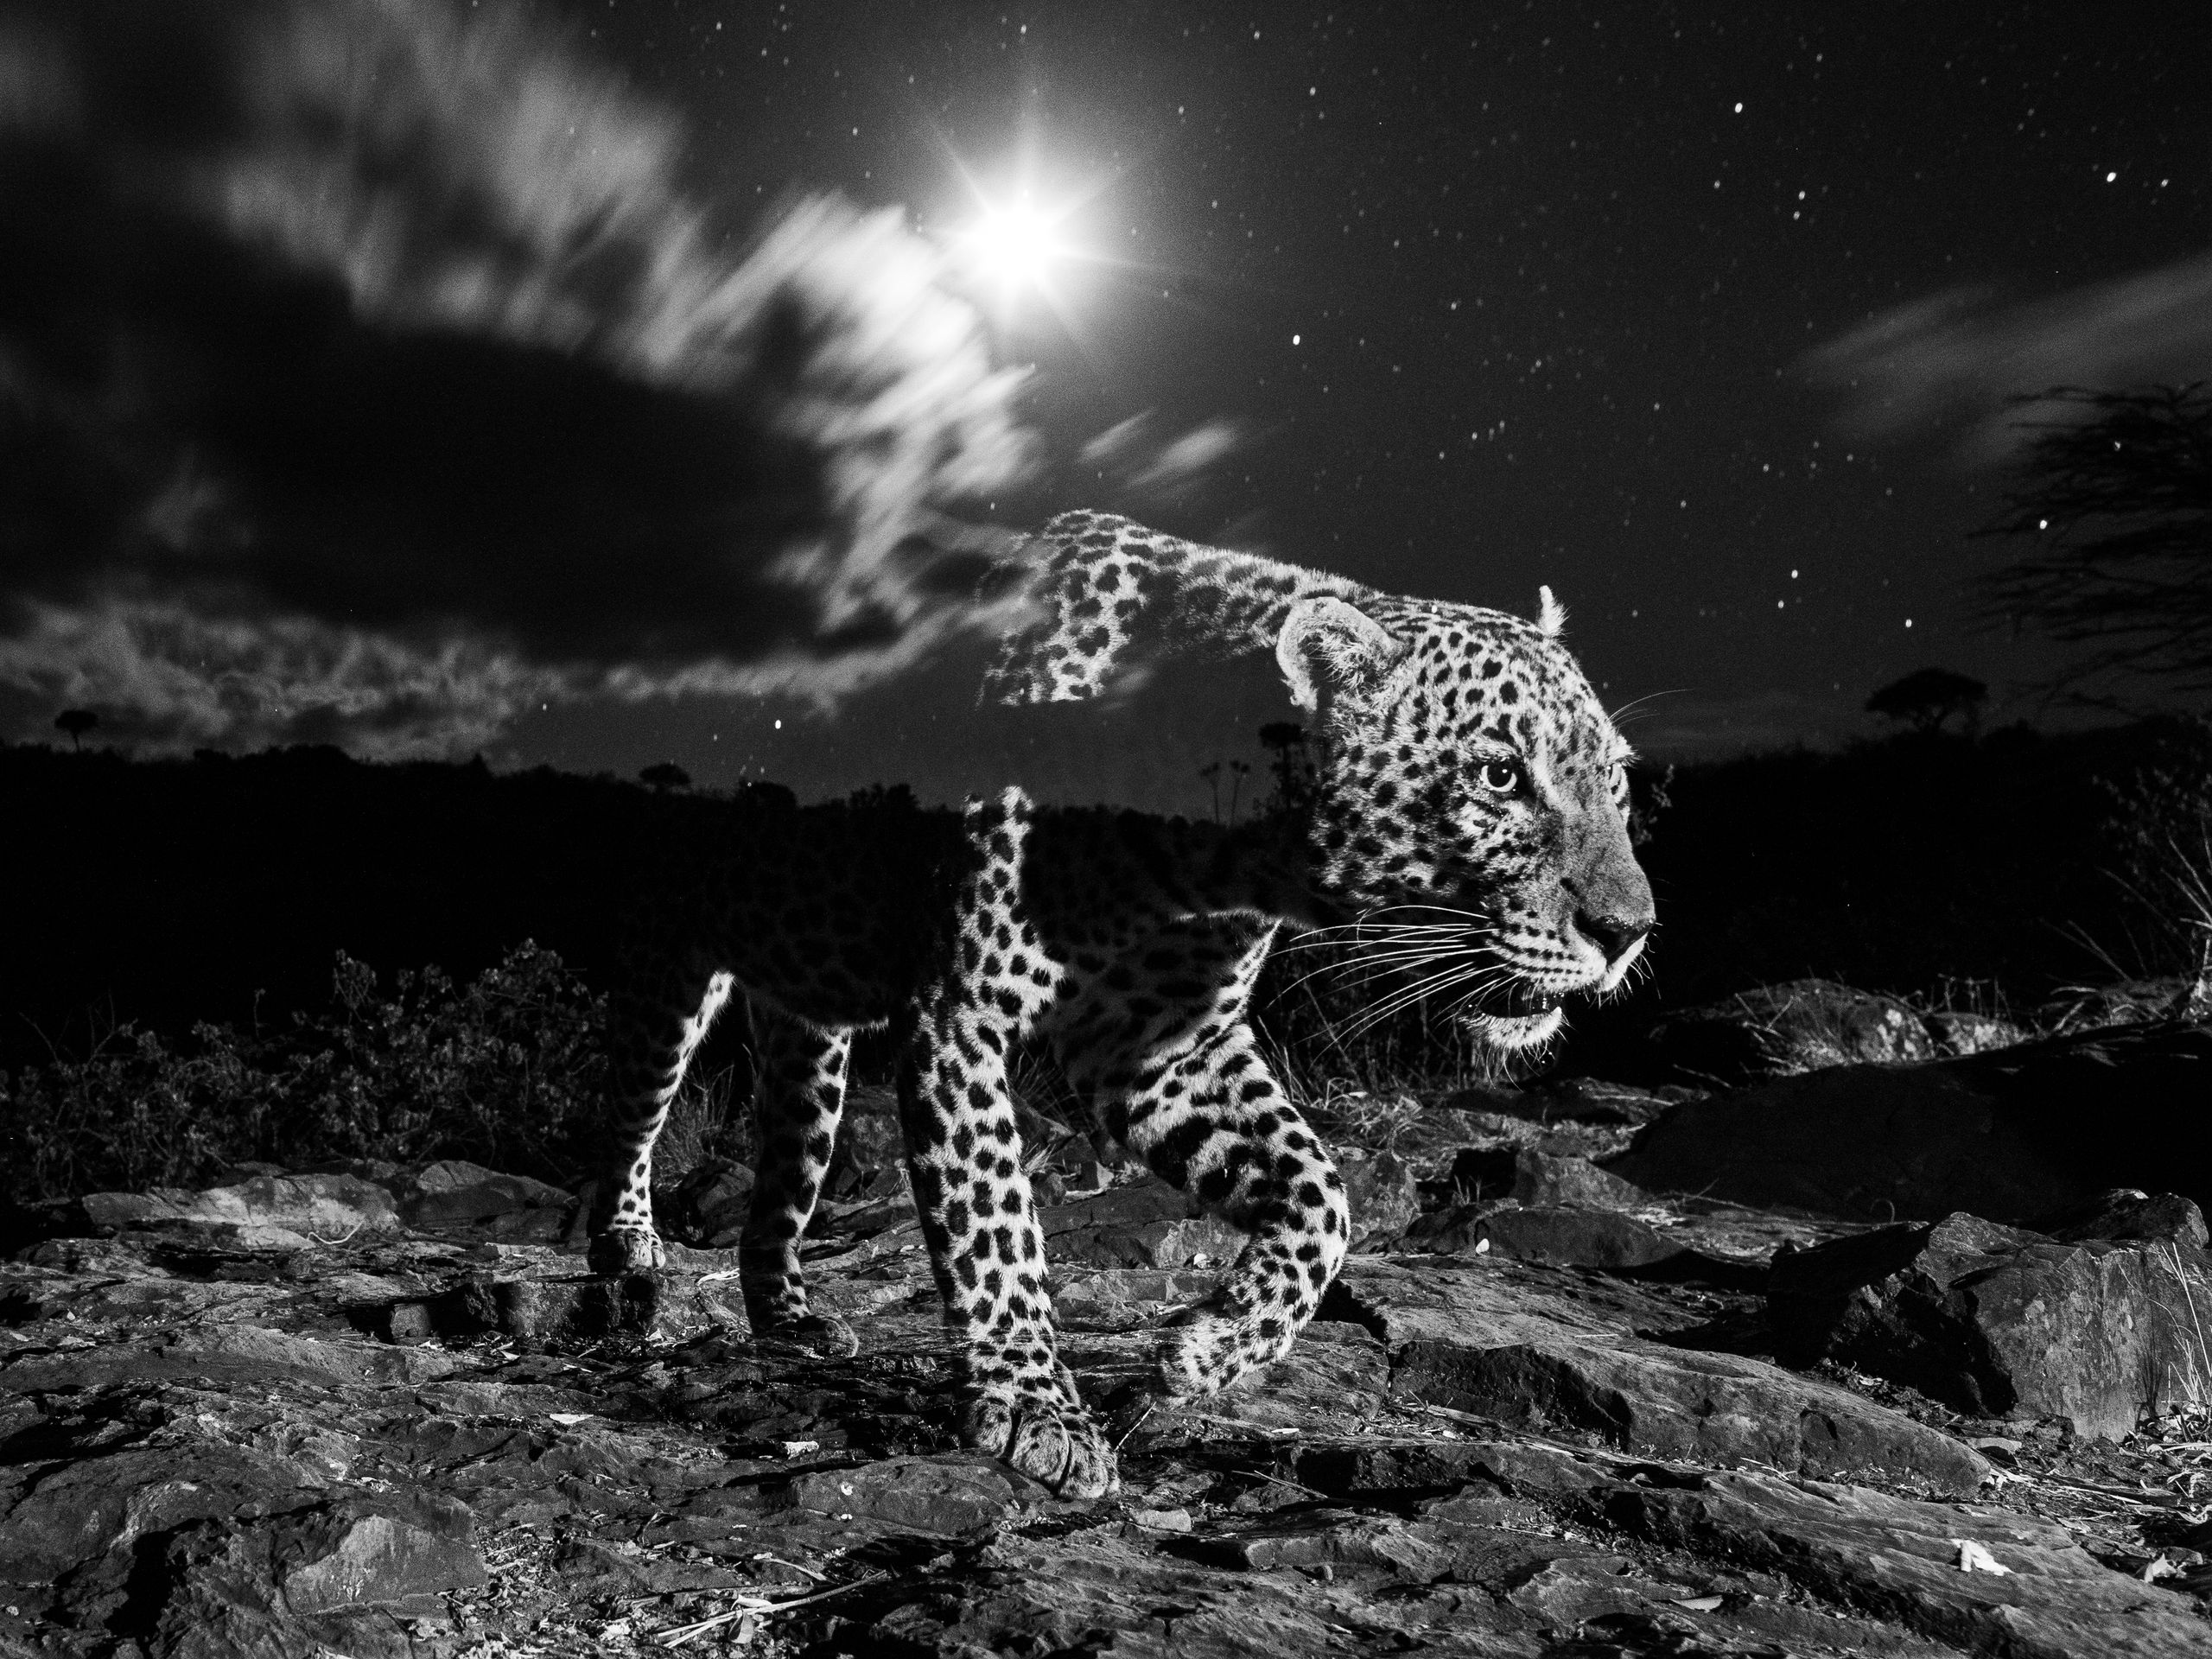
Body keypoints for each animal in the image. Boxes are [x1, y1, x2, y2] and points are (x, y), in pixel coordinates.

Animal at [587, 509, 1654, 1501]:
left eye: (1615, 779)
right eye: (1499, 775)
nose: (1632, 929)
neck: (1224, 854)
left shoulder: (1158, 1048)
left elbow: (1322, 1193)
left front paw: (1210, 1347)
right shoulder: (961, 1019)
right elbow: (996, 1223)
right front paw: (1037, 1411)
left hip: (809, 1032)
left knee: (785, 1169)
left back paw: (790, 1321)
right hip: (668, 971)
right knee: (630, 1111)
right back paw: (626, 1249)